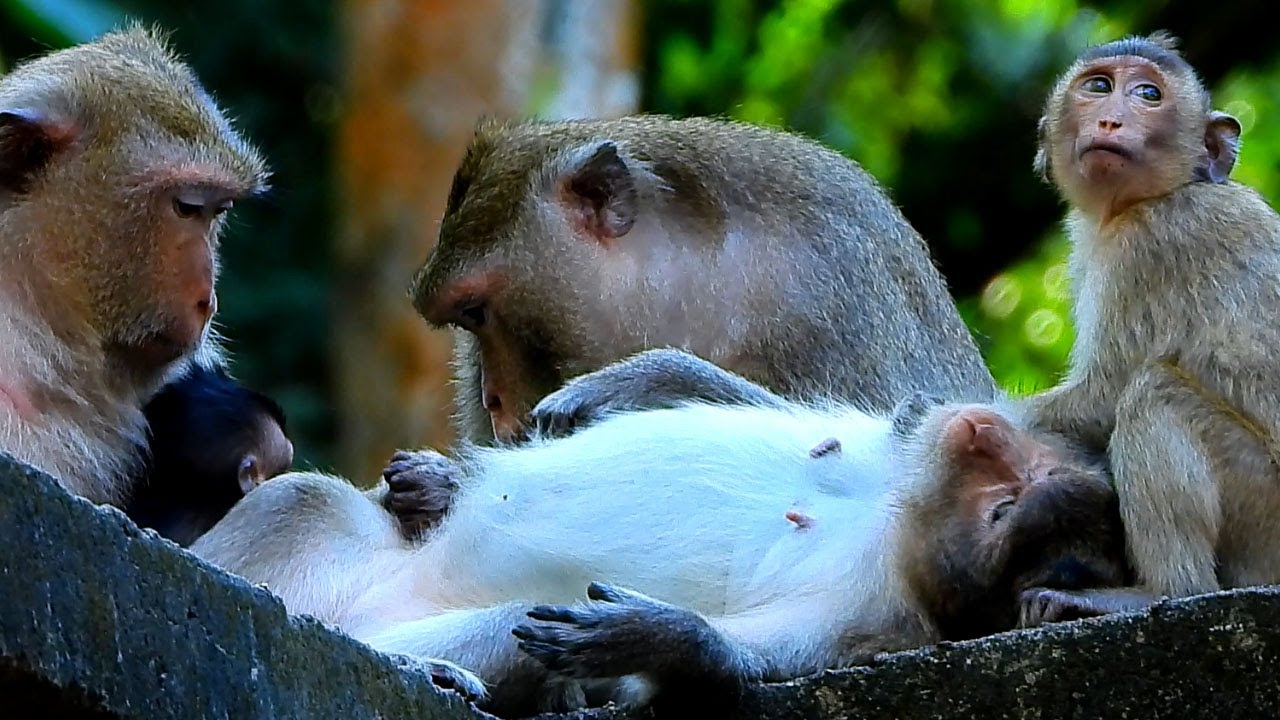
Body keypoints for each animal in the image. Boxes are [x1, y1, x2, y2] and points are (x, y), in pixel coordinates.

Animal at [192, 389, 1126, 716]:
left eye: (1009, 506)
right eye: (1024, 470)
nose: (982, 432)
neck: (887, 526)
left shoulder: (873, 623)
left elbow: (743, 662)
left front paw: (658, 636)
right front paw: (436, 485)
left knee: (511, 631)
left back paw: (427, 671)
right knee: (299, 499)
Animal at [1020, 32, 1280, 622]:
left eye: (1147, 94)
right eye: (1098, 86)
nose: (1111, 119)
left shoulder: (1154, 244)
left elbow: (1105, 394)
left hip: (1266, 512)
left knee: (1151, 393)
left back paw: (1165, 590)